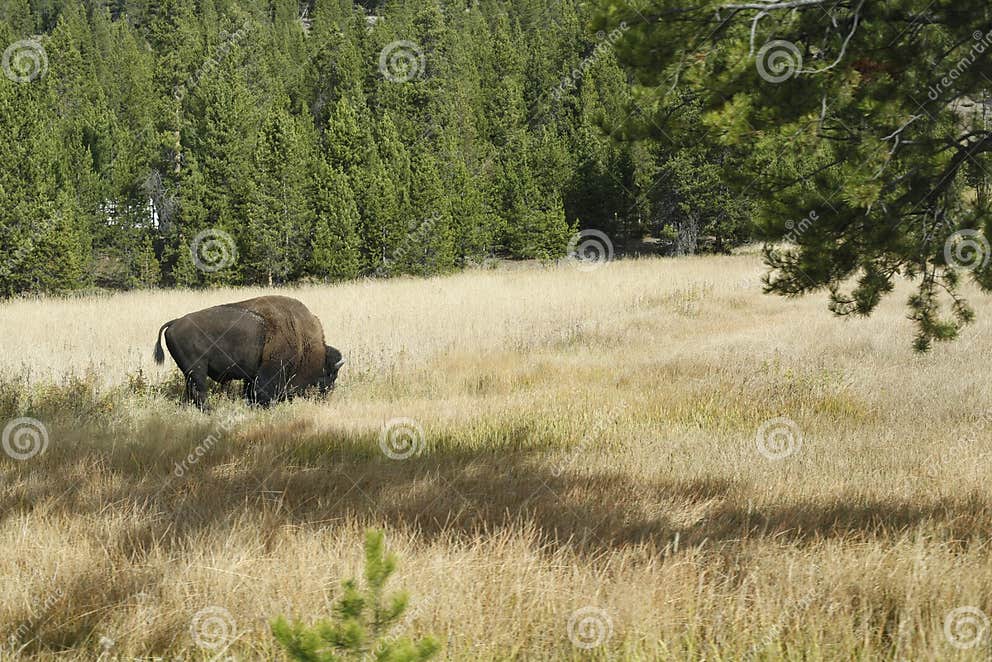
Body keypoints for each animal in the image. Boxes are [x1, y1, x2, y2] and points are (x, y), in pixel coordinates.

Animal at [153, 295, 344, 408]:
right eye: (330, 375)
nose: (326, 396)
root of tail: (175, 322)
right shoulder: (270, 371)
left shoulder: (251, 375)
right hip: (197, 369)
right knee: (199, 391)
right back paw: (209, 410)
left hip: (189, 373)